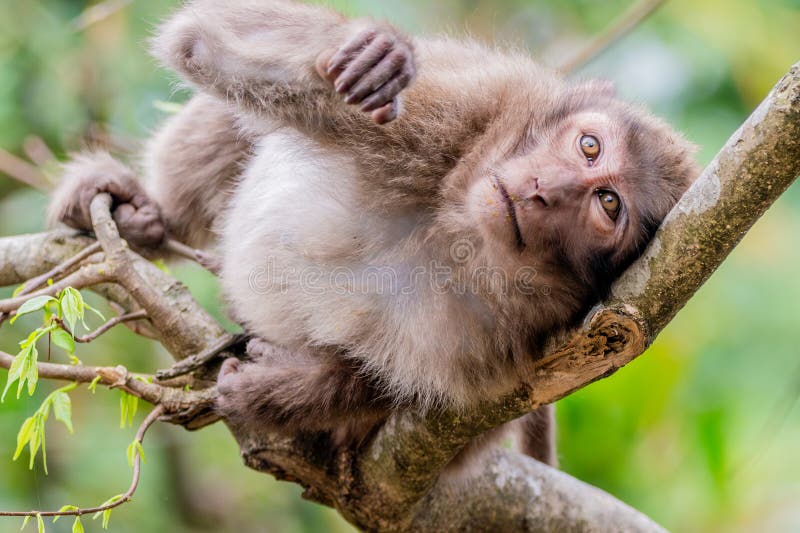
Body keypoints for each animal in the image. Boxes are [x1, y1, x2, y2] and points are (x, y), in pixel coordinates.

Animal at [48, 0, 698, 469]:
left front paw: (282, 390)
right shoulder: (463, 103)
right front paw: (382, 53)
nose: (545, 189)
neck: (457, 229)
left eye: (607, 204)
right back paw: (145, 214)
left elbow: (397, 392)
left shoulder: (532, 343)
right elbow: (207, 40)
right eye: (588, 146)